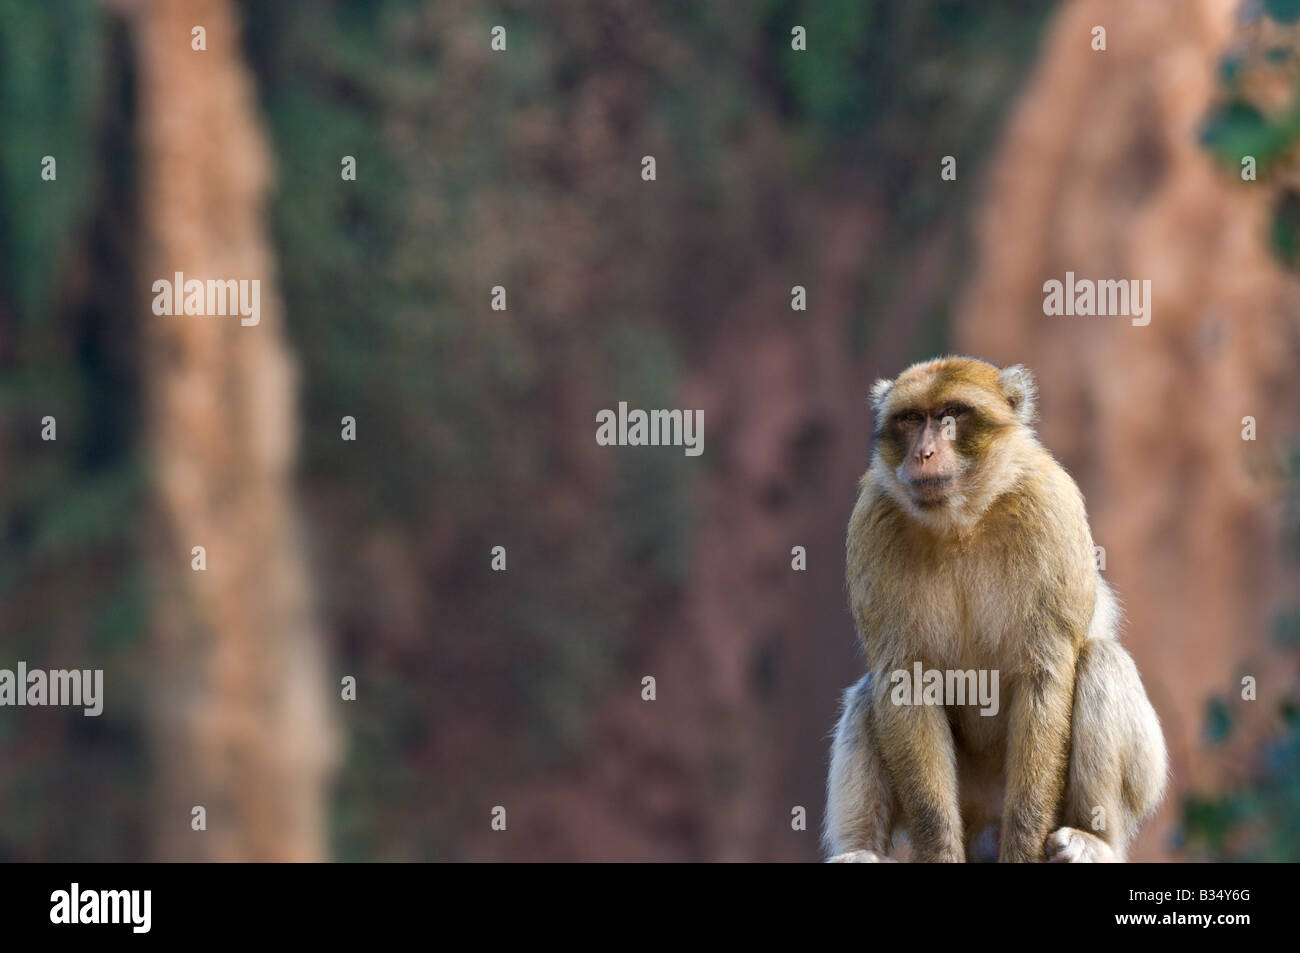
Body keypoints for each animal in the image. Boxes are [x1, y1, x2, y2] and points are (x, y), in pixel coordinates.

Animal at [823, 356, 1167, 863]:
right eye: (911, 419)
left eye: (951, 414)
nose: (923, 453)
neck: (963, 521)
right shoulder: (873, 518)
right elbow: (904, 679)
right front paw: (938, 851)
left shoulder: (1049, 506)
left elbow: (1046, 673)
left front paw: (1024, 848)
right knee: (871, 692)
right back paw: (859, 850)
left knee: (1100, 661)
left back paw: (1095, 840)